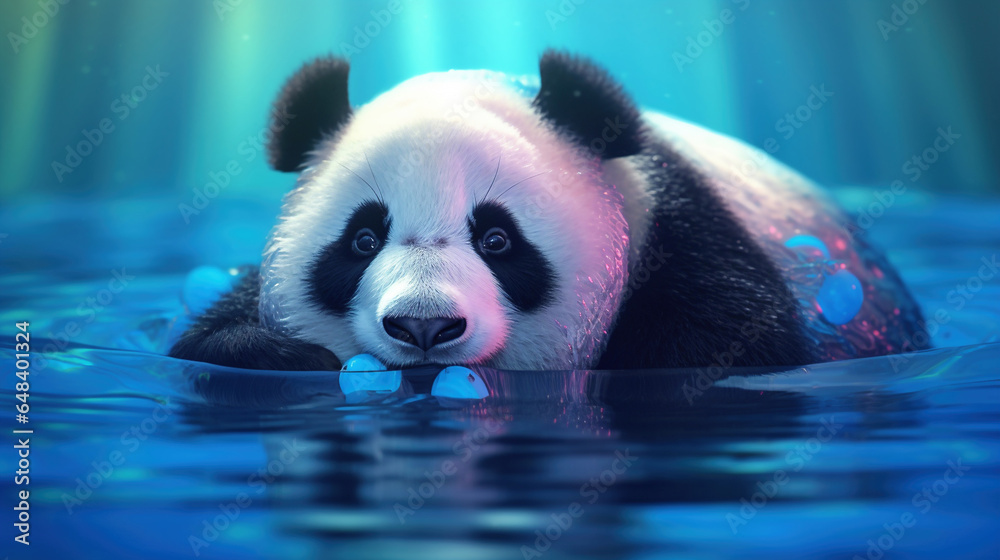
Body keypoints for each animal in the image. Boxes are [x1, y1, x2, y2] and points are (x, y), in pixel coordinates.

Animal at [169, 50, 929, 372]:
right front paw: (282, 353)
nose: (424, 326)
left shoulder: (684, 238)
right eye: (361, 240)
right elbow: (209, 343)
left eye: (497, 239)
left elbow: (725, 345)